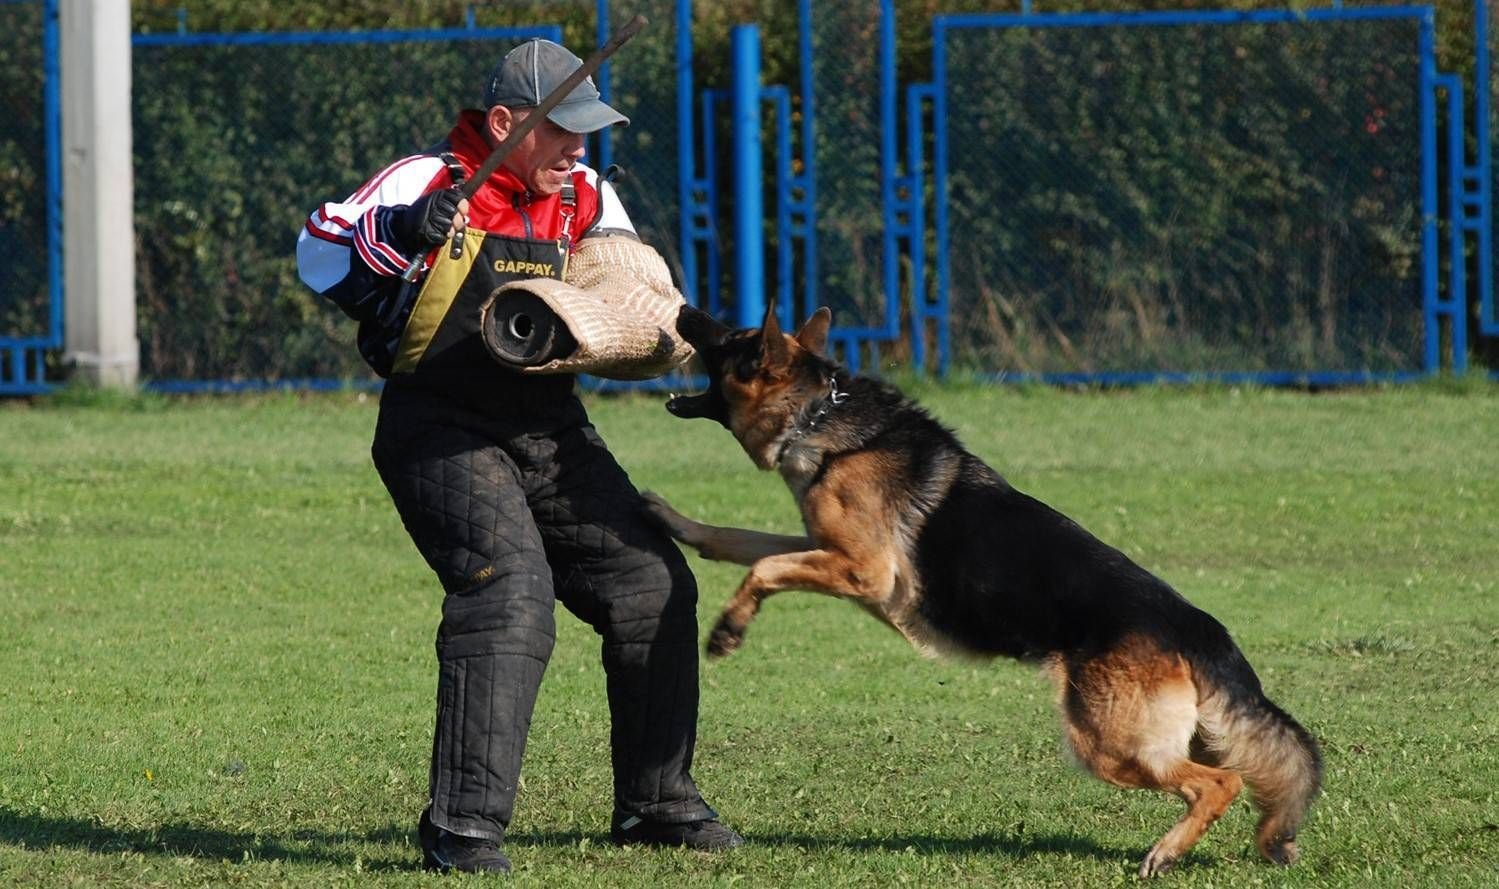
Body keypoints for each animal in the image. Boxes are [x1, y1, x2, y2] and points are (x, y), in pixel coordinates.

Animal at [644, 299, 1325, 875]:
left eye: (732, 339)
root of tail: (1202, 632)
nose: (683, 308)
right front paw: (670, 518)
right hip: (1191, 736)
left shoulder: (865, 570)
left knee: (1221, 783)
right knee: (1247, 771)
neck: (819, 415)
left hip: (1108, 743)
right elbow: (741, 541)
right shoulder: (823, 548)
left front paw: (728, 630)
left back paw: (1165, 851)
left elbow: (762, 567)